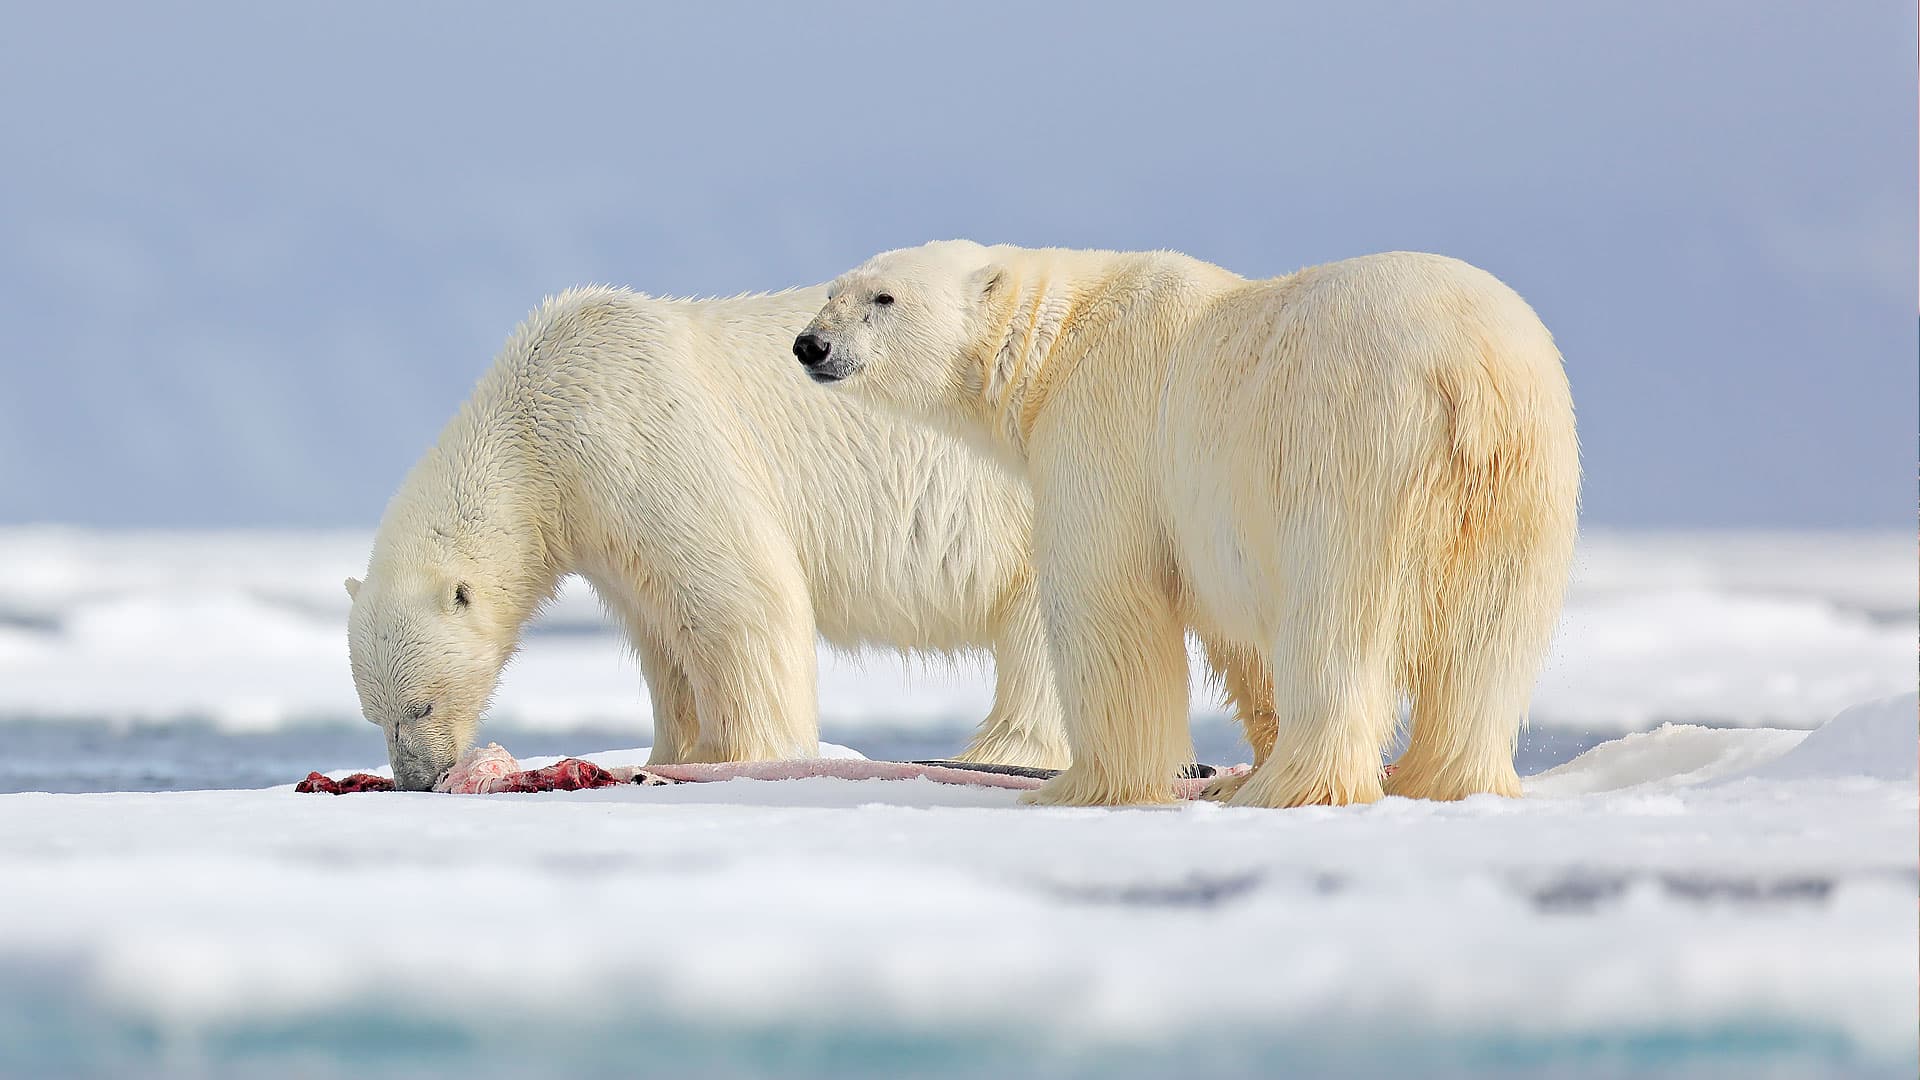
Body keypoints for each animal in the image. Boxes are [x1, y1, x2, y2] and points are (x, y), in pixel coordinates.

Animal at [345, 283, 1073, 791]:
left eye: (421, 705)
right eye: (375, 715)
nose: (419, 779)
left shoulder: (640, 434)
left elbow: (742, 594)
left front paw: (743, 756)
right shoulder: (603, 524)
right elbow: (662, 632)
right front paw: (670, 751)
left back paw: (995, 751)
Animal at [793, 241, 1580, 808]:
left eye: (883, 297)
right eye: (833, 292)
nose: (811, 345)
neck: (1060, 341)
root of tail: (1471, 373)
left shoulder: (1107, 427)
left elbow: (1108, 602)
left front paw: (1082, 785)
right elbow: (1241, 637)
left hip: (1349, 448)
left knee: (1336, 622)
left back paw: (1289, 788)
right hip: (1527, 479)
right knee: (1489, 644)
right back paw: (1442, 780)